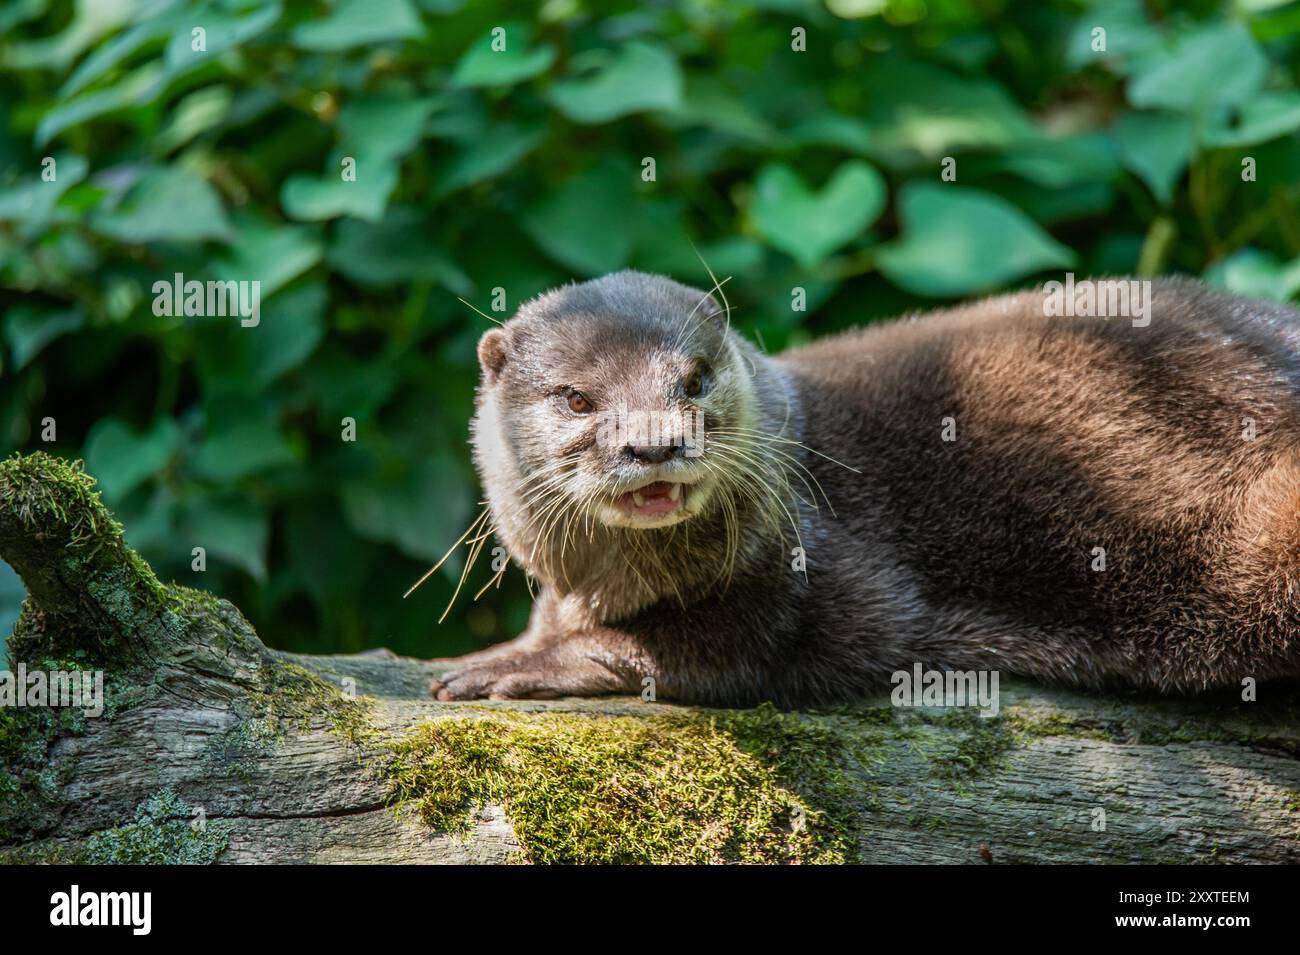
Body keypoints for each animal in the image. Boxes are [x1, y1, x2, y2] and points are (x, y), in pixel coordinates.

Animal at [429, 271, 1300, 706]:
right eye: (578, 398)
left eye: (695, 379)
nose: (656, 441)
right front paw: (505, 645)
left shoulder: (823, 571)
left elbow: (725, 648)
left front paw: (517, 666)